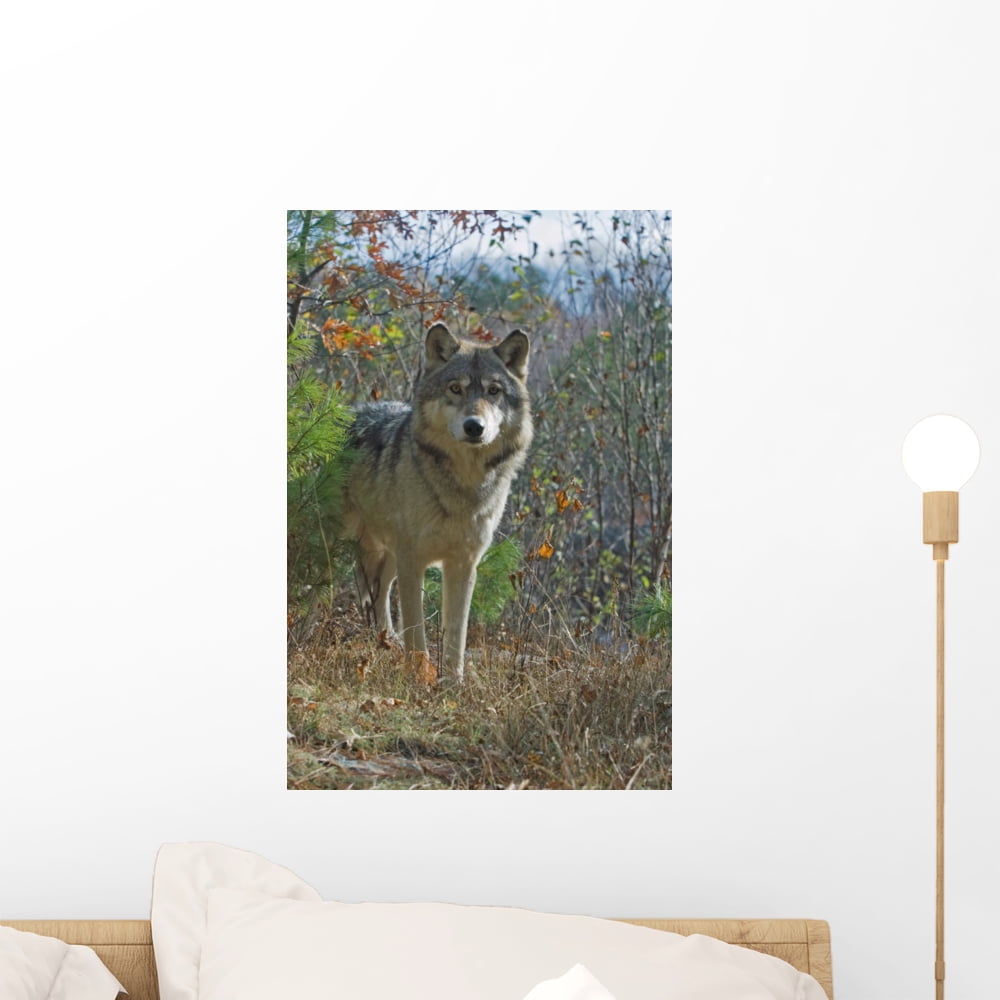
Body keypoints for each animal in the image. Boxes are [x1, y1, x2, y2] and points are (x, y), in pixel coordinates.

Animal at [342, 323, 532, 683]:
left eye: (494, 391)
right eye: (456, 389)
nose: (474, 427)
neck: (462, 487)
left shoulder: (464, 564)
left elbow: (456, 633)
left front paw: (452, 684)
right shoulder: (414, 561)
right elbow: (417, 629)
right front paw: (419, 676)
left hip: (389, 558)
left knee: (380, 596)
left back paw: (386, 643)